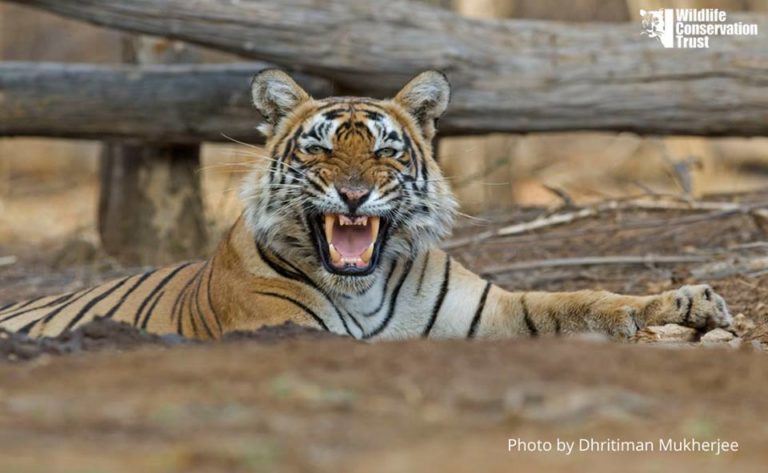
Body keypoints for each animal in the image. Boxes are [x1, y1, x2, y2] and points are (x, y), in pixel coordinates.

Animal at [0, 69, 732, 340]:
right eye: (321, 151)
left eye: (385, 152)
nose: (353, 193)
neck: (366, 288)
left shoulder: (489, 311)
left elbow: (580, 301)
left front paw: (688, 304)